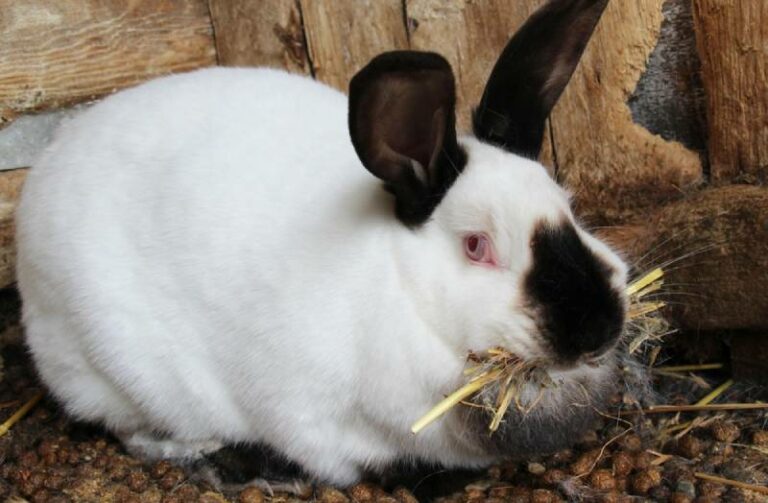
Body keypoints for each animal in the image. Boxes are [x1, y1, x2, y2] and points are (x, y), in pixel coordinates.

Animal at [16, 0, 627, 489]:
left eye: (569, 208)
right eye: (476, 246)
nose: (599, 326)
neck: (403, 290)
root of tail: (44, 173)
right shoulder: (312, 422)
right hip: (114, 372)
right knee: (135, 430)